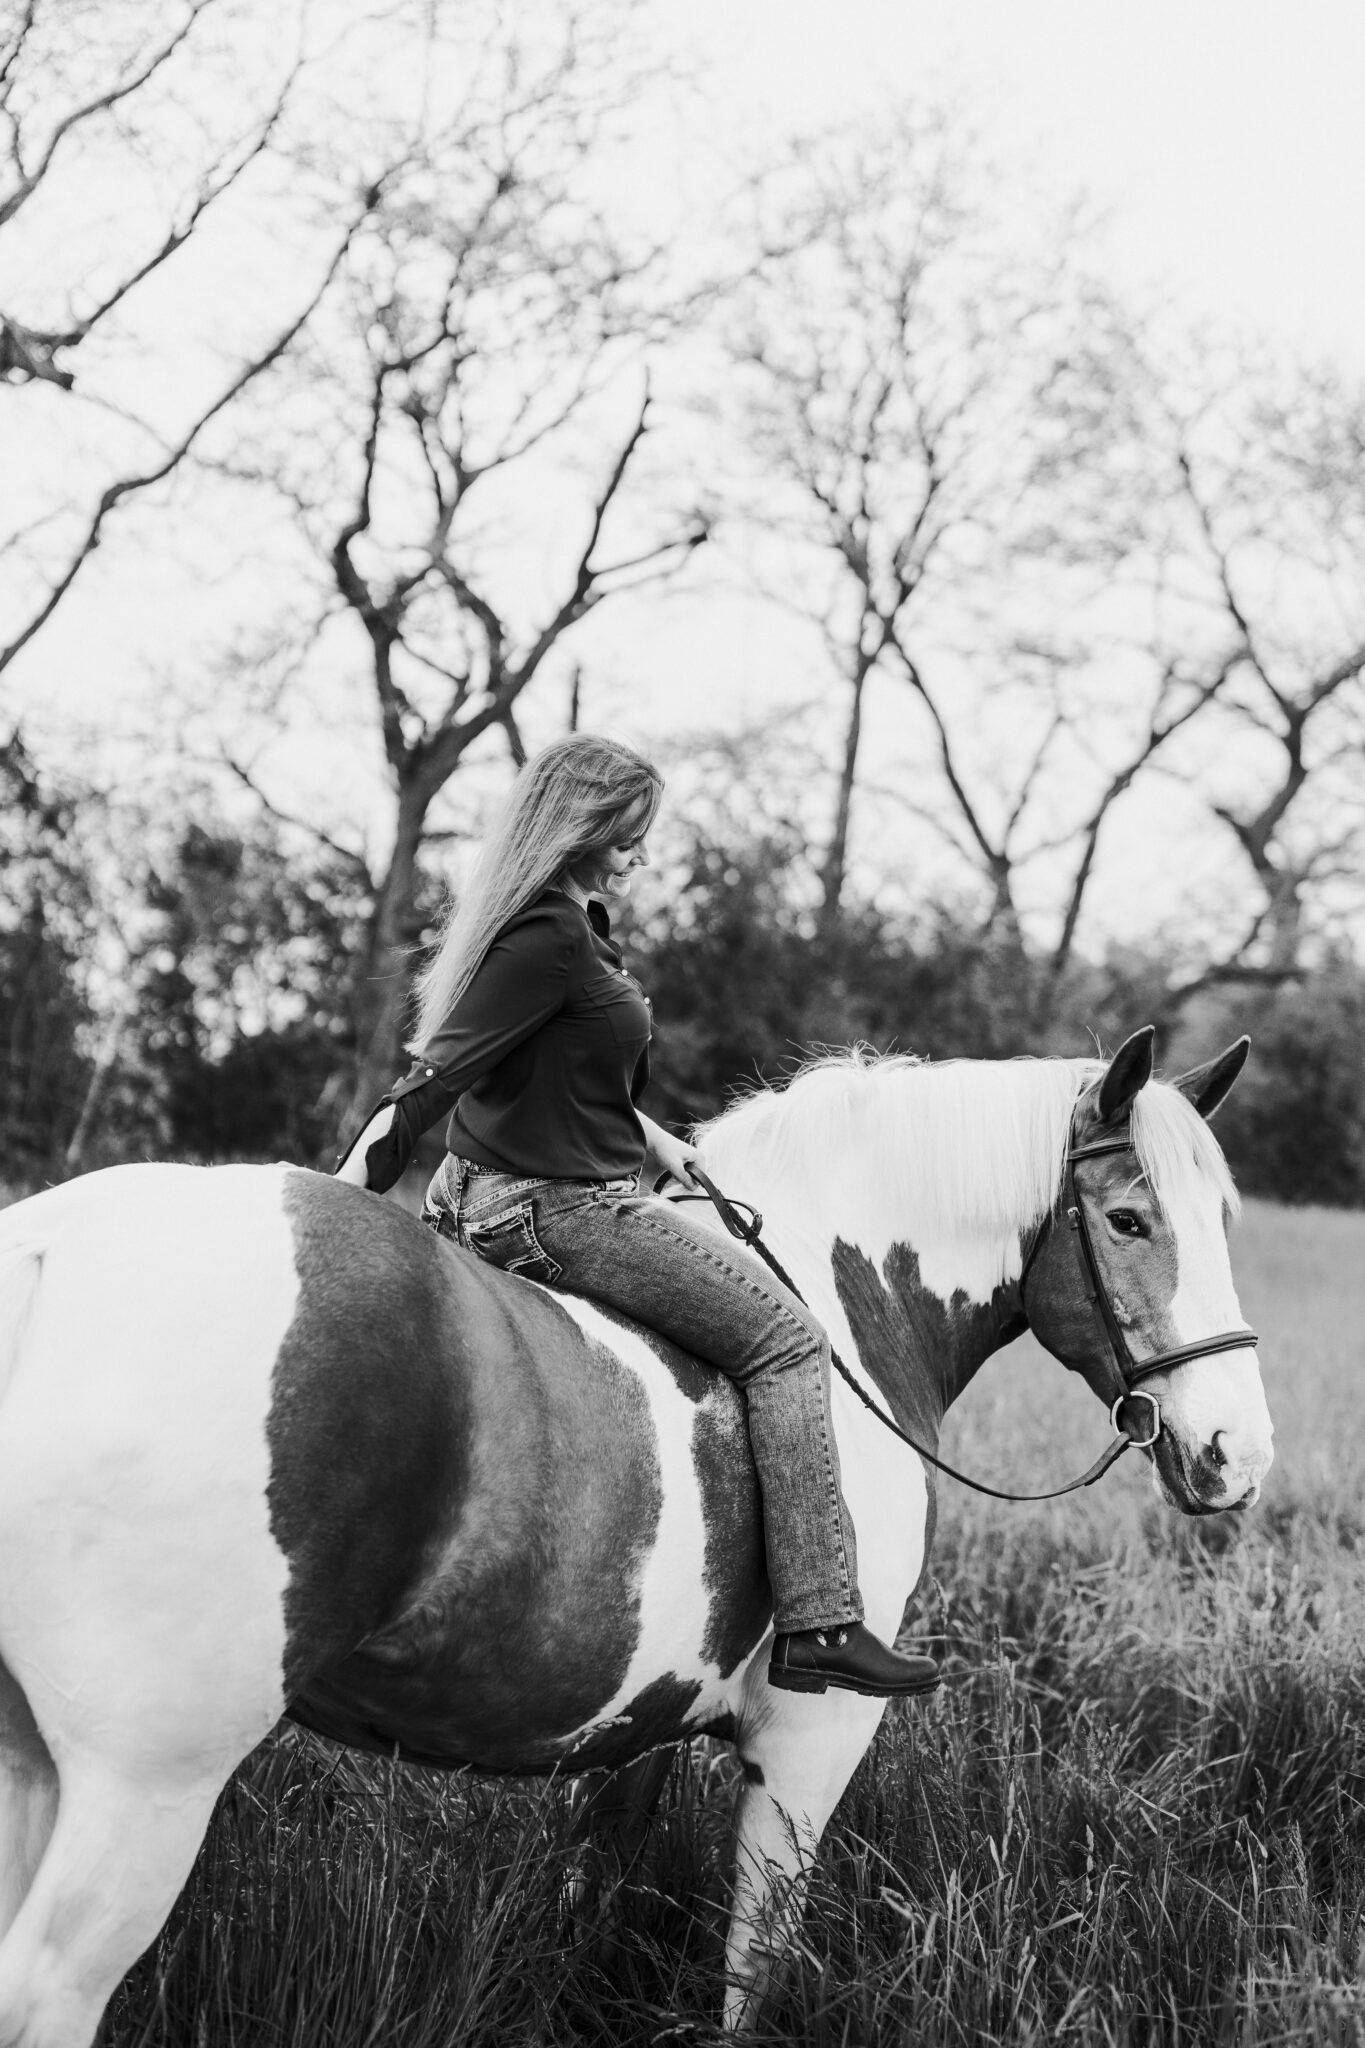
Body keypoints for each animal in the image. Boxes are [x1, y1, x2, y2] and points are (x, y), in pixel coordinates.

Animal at [0, 1027, 1272, 2046]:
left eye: (1222, 1222)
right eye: (1128, 1219)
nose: (1239, 1453)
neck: (837, 1310)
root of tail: (47, 1254)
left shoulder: (631, 1725)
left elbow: (588, 1889)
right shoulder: (815, 1734)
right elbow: (756, 1958)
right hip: (145, 1784)